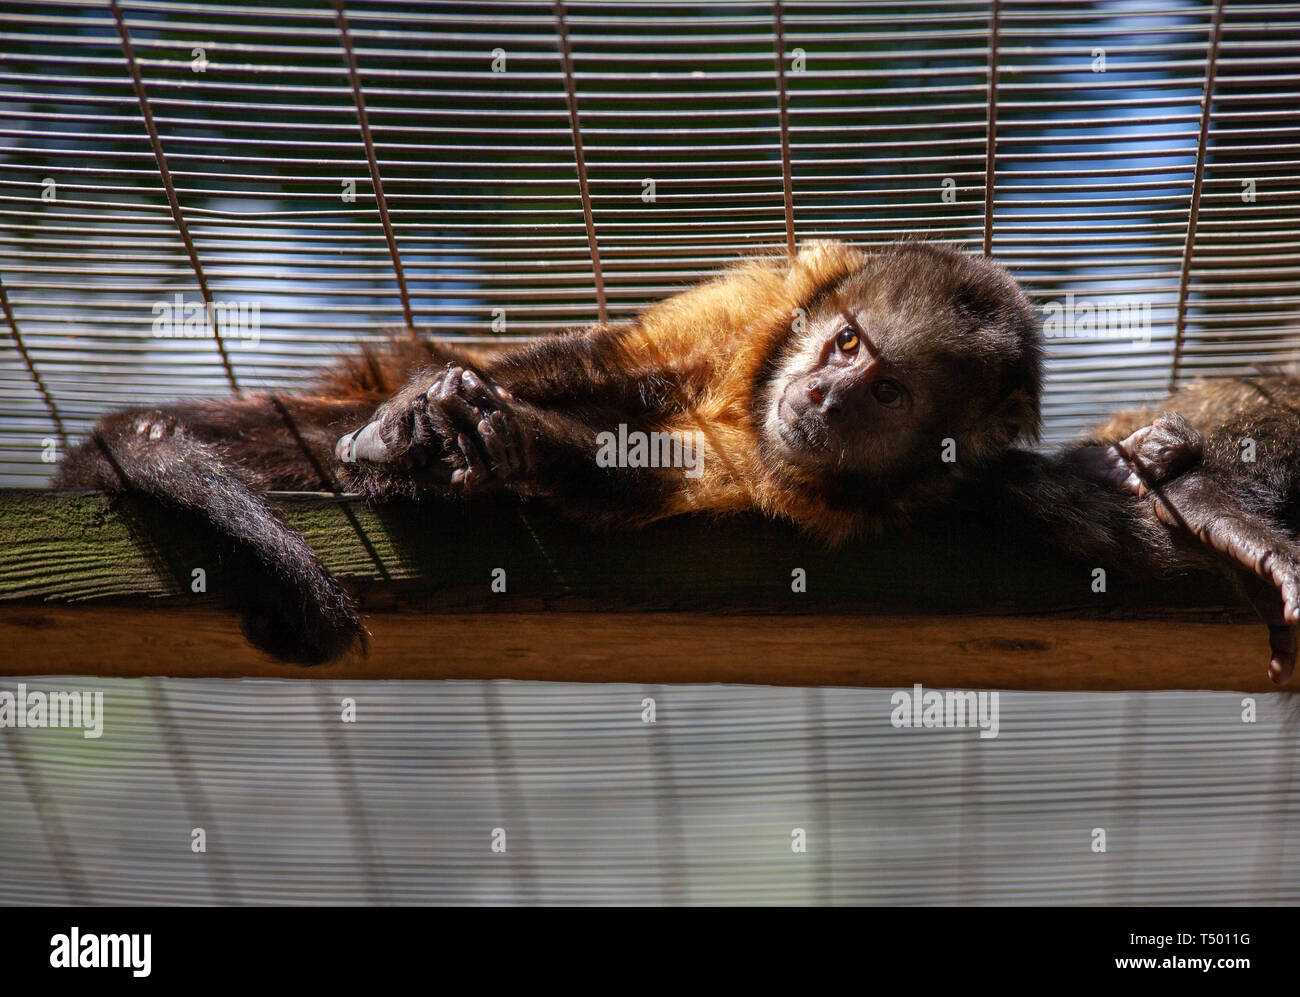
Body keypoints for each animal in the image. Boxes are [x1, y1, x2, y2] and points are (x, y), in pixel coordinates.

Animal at [53, 240, 1300, 680]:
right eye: (847, 343)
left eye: (888, 391)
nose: (822, 391)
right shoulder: (774, 292)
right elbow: (605, 362)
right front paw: (438, 417)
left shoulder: (811, 484)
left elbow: (641, 475)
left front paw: (504, 441)